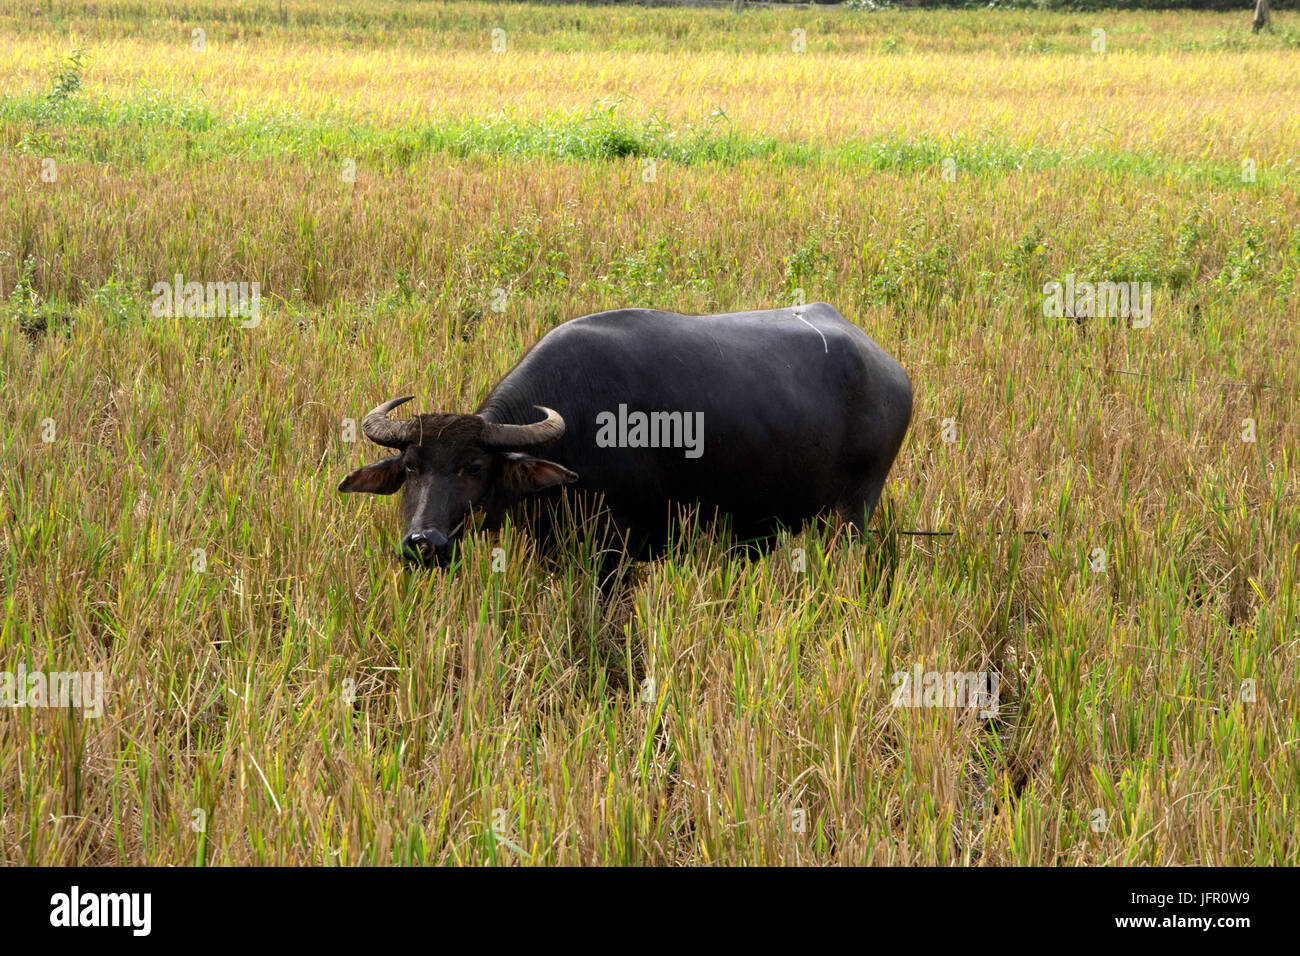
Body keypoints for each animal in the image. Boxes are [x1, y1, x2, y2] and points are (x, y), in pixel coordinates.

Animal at [340, 303, 920, 564]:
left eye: (474, 467)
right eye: (411, 468)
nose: (424, 544)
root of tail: (890, 368)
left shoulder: (614, 553)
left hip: (852, 515)